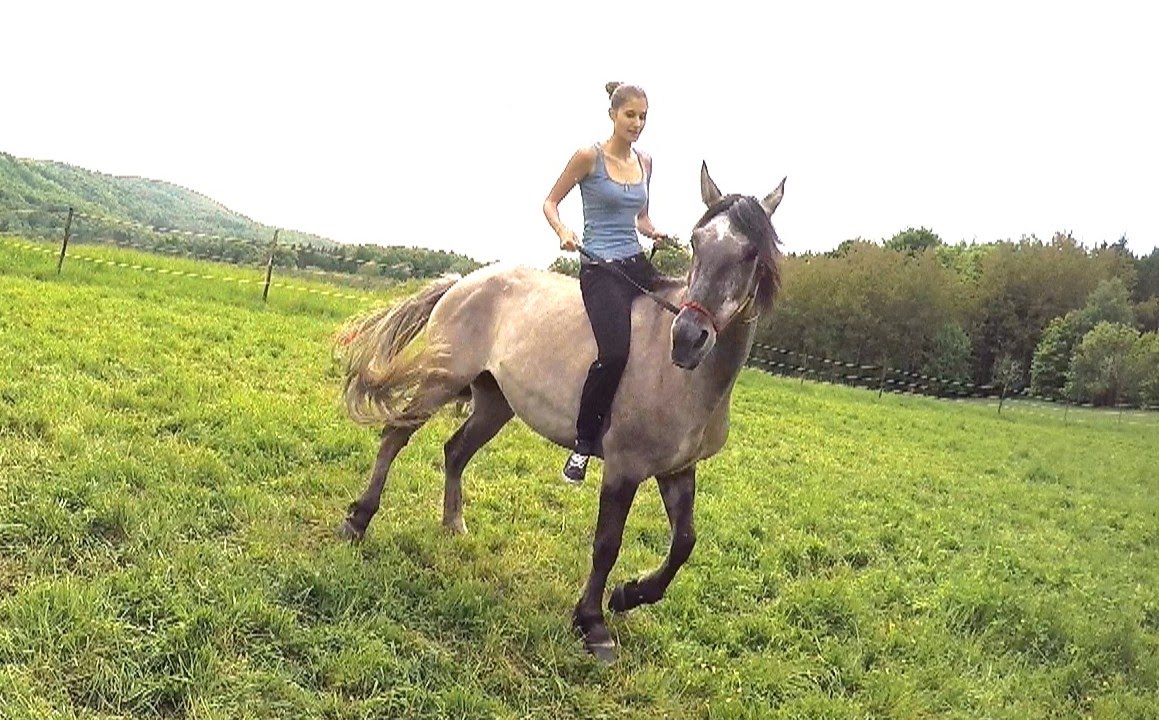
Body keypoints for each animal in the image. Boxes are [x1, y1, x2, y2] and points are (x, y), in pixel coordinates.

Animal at [335, 162, 785, 663]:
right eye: (696, 241)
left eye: (749, 252)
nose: (687, 338)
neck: (687, 380)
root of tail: (465, 280)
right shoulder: (625, 467)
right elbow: (607, 544)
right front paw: (592, 622)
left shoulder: (677, 470)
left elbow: (684, 543)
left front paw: (629, 594)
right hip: (441, 380)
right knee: (395, 436)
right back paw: (358, 520)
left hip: (495, 402)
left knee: (455, 451)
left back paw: (454, 526)